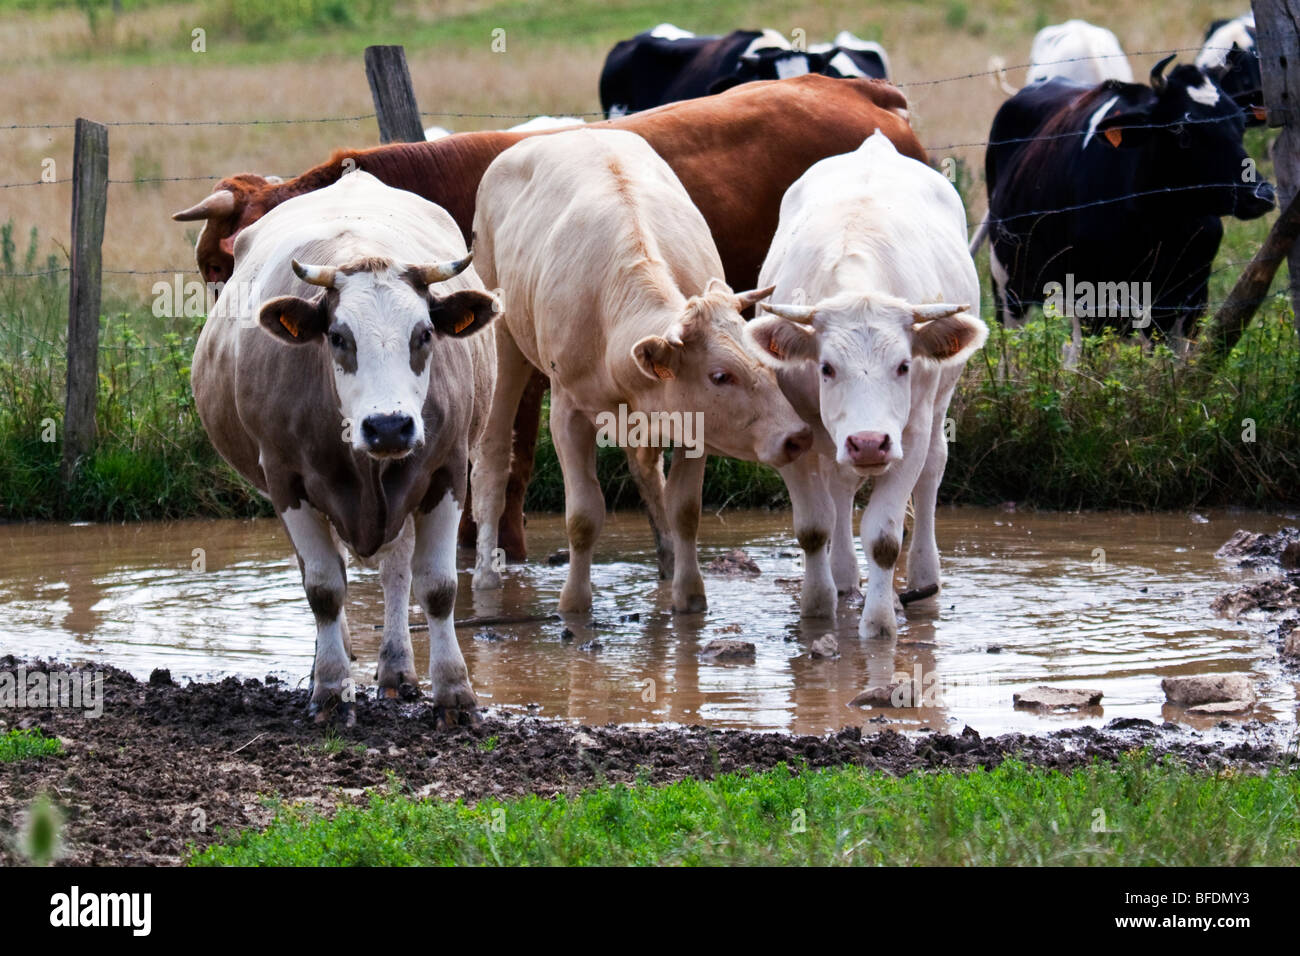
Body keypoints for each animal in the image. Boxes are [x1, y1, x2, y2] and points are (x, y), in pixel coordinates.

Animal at [193, 171, 499, 726]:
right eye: (337, 336)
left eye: (425, 333)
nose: (390, 427)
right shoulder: (286, 482)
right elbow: (324, 588)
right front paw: (331, 688)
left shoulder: (446, 470)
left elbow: (437, 586)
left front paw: (454, 692)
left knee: (396, 571)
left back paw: (397, 670)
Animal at [471, 129, 812, 615]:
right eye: (720, 376)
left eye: (766, 361)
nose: (797, 436)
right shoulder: (567, 412)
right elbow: (583, 516)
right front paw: (574, 603)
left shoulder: (691, 420)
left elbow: (684, 508)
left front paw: (689, 596)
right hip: (503, 343)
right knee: (494, 455)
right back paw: (485, 575)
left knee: (647, 471)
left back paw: (667, 562)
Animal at [745, 132, 987, 638]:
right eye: (826, 368)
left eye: (903, 365)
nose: (871, 442)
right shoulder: (795, 432)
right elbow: (814, 527)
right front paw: (817, 608)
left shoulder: (910, 433)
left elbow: (883, 538)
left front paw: (878, 626)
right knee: (839, 488)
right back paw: (841, 579)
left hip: (936, 410)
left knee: (932, 472)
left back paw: (924, 578)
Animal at [982, 56, 1275, 345]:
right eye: (1180, 129)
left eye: (1241, 123)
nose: (1261, 194)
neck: (1160, 225)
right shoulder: (1095, 296)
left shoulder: (1191, 296)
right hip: (1009, 282)